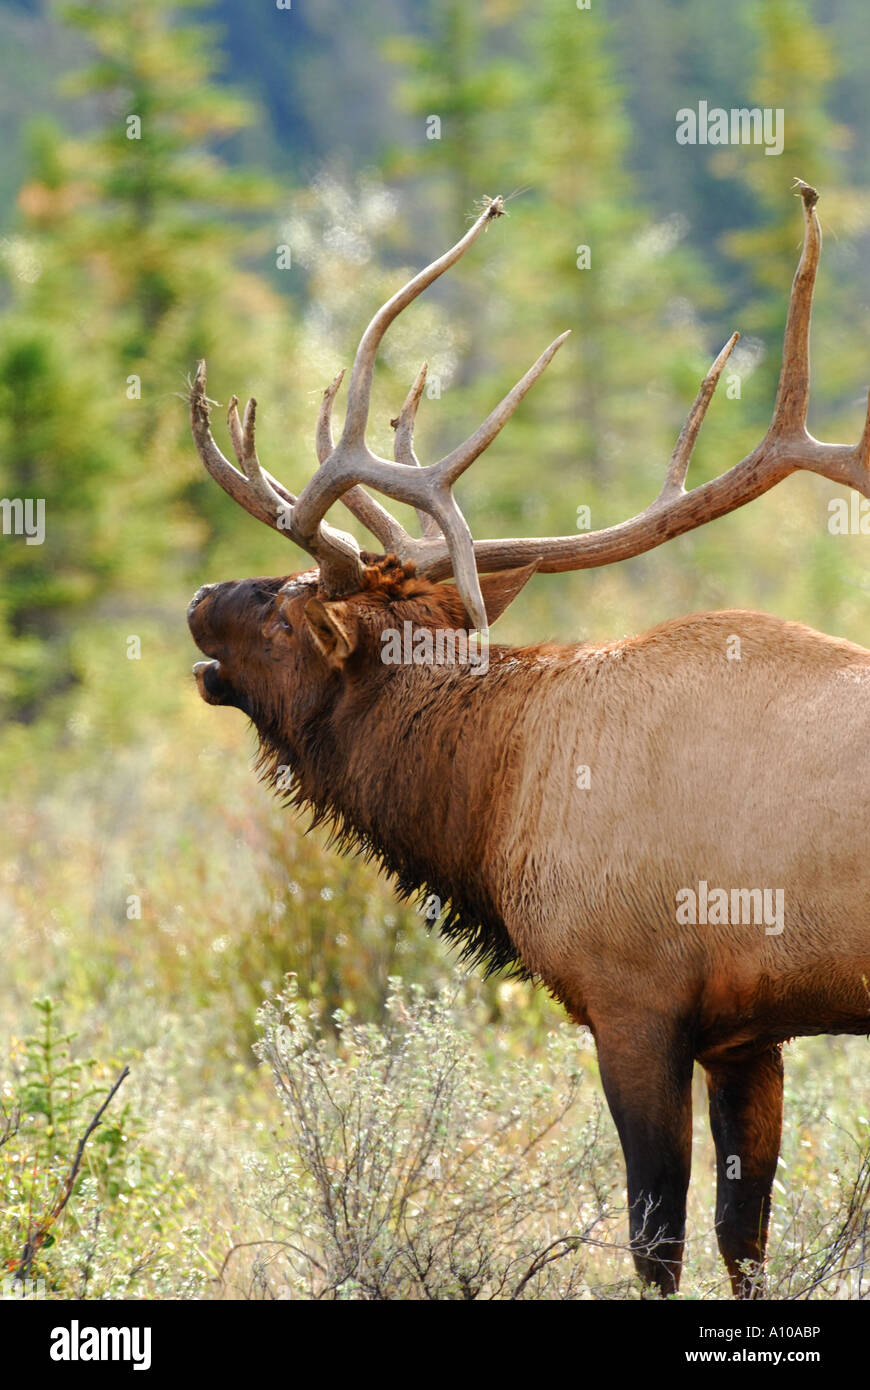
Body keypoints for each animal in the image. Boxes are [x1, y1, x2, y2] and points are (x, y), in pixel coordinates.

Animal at [187, 182, 870, 1299]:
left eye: (287, 610)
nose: (200, 598)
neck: (497, 797)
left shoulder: (634, 995)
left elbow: (656, 1236)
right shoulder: (748, 1029)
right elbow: (747, 1238)